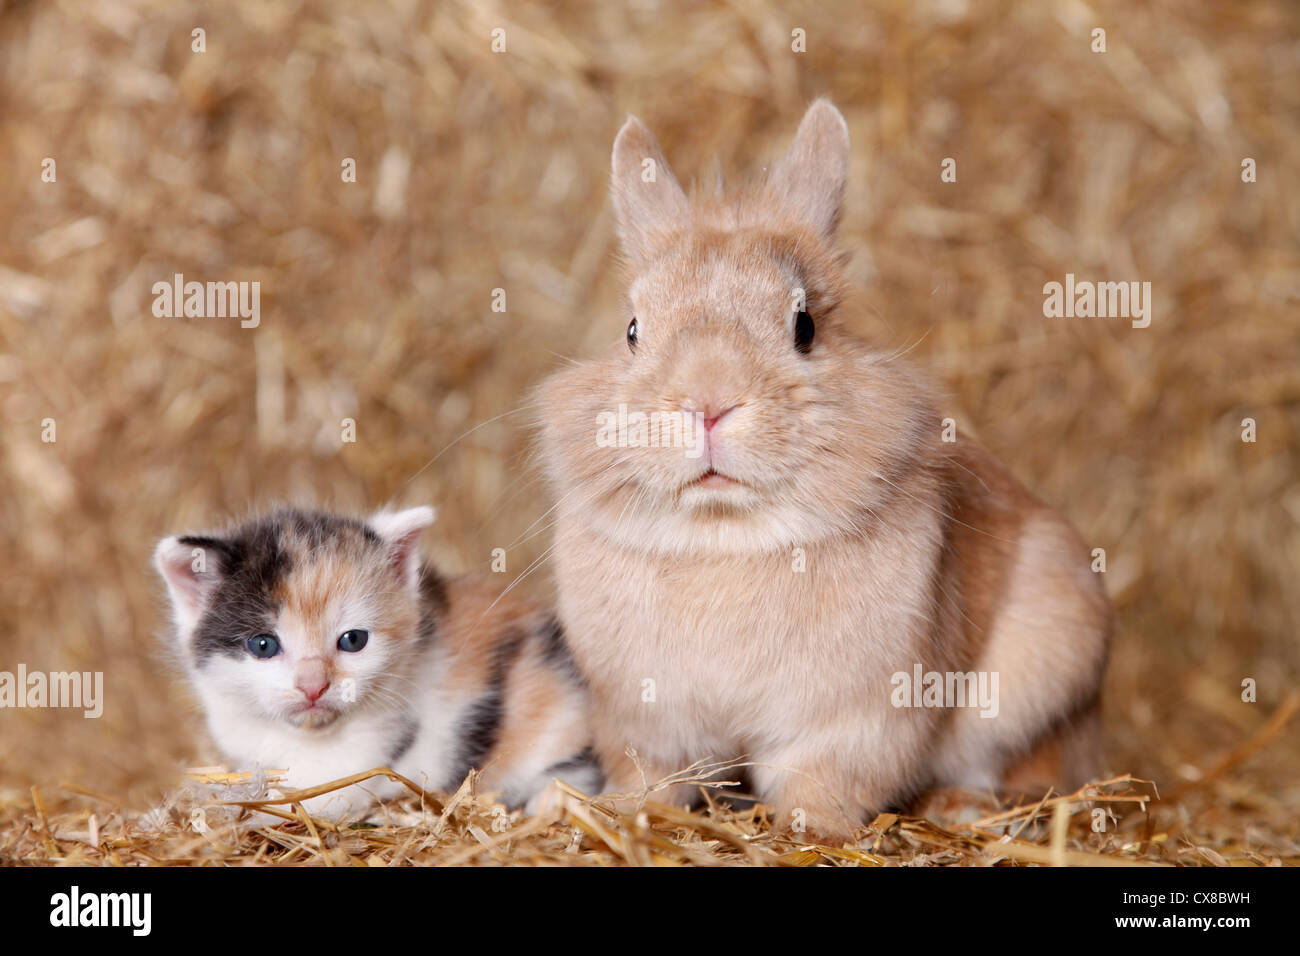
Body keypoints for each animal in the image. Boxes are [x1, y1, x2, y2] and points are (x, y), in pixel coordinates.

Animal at [536, 98, 1111, 843]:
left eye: (804, 327)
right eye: (633, 330)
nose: (708, 402)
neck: (725, 536)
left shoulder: (850, 723)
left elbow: (821, 785)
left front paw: (810, 832)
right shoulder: (645, 722)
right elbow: (652, 781)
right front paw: (606, 811)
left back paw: (958, 808)